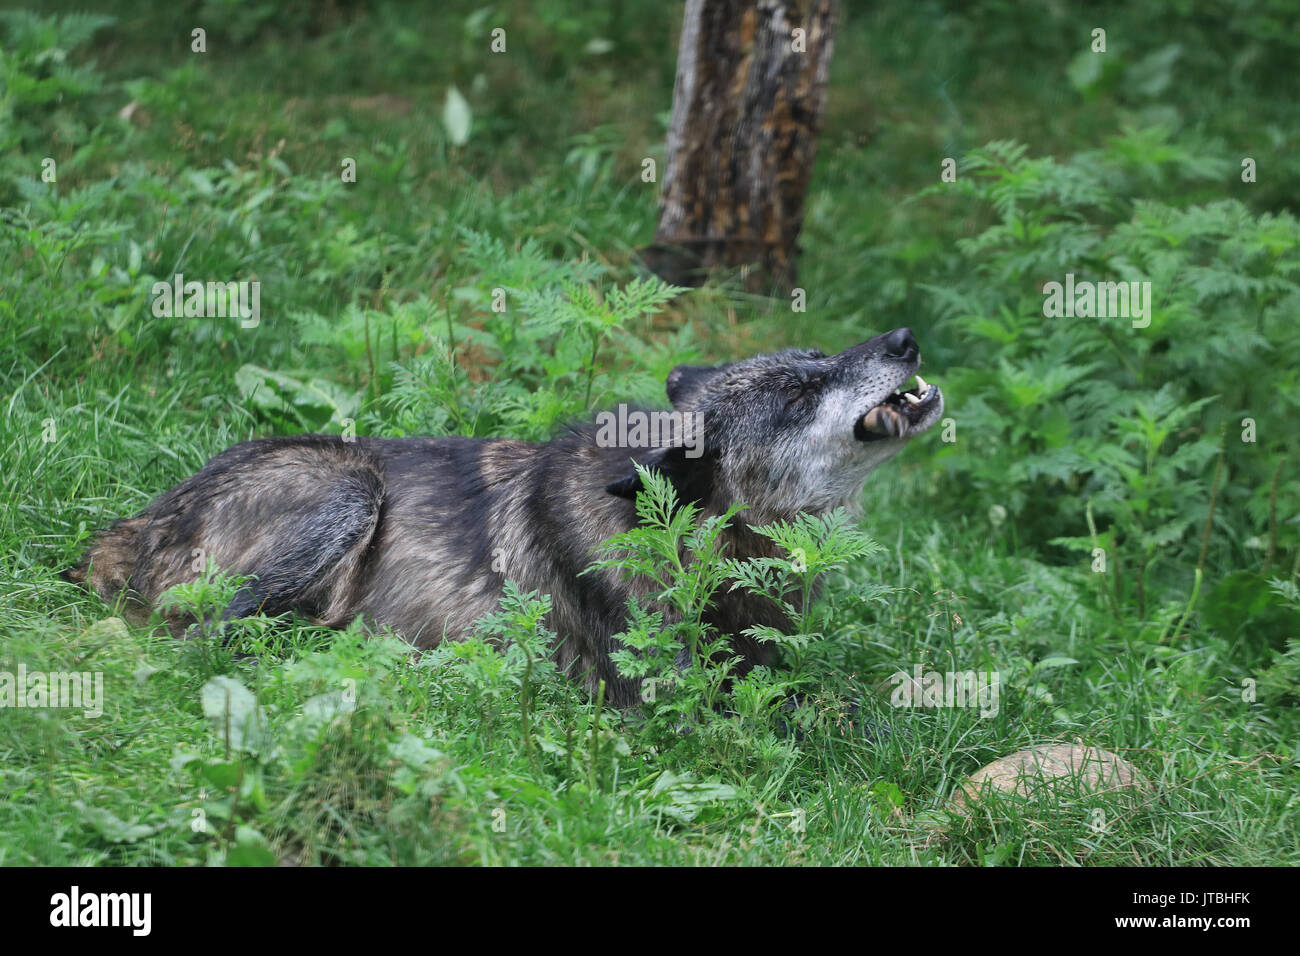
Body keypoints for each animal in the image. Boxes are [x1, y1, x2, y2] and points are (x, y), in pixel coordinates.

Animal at [70, 327, 944, 708]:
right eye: (800, 392)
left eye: (821, 356)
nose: (904, 336)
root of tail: (127, 530)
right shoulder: (674, 705)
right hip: (348, 489)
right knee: (203, 640)